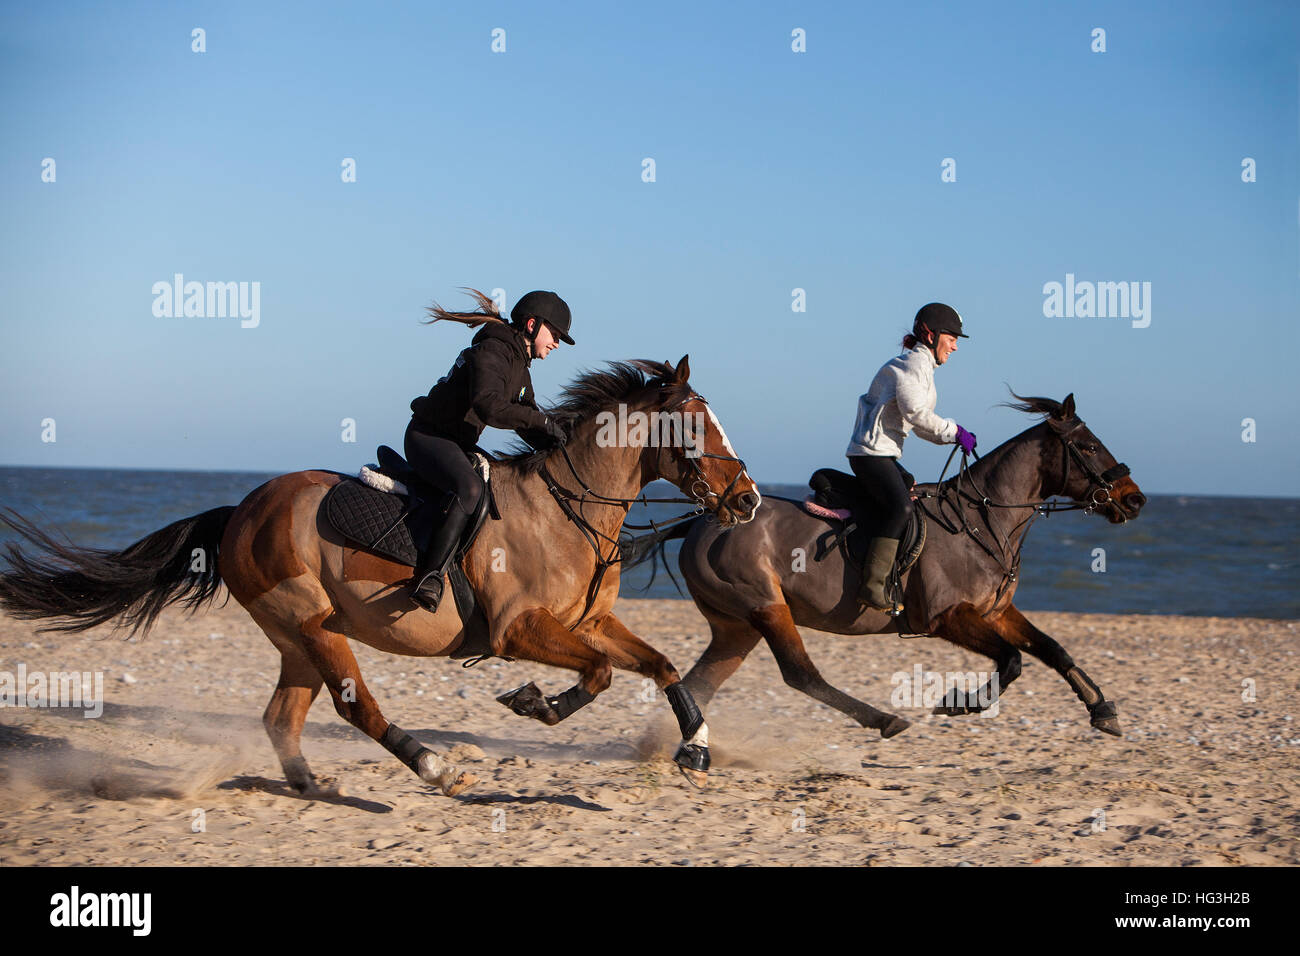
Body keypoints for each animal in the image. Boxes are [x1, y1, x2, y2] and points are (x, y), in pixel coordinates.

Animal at [0, 357, 761, 795]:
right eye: (697, 427)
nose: (749, 499)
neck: (567, 510)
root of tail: (241, 510)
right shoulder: (520, 631)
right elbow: (599, 675)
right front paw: (533, 703)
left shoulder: (592, 622)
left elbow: (660, 665)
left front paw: (695, 749)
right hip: (312, 626)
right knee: (354, 707)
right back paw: (433, 767)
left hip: (302, 638)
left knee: (283, 717)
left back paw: (312, 786)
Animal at [628, 392, 1146, 740]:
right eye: (1090, 446)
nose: (1134, 499)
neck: (982, 521)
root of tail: (702, 522)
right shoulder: (947, 617)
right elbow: (1013, 660)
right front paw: (960, 704)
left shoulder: (996, 613)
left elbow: (1053, 650)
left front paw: (1103, 710)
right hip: (766, 609)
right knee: (801, 675)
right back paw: (885, 719)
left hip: (737, 628)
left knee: (702, 681)